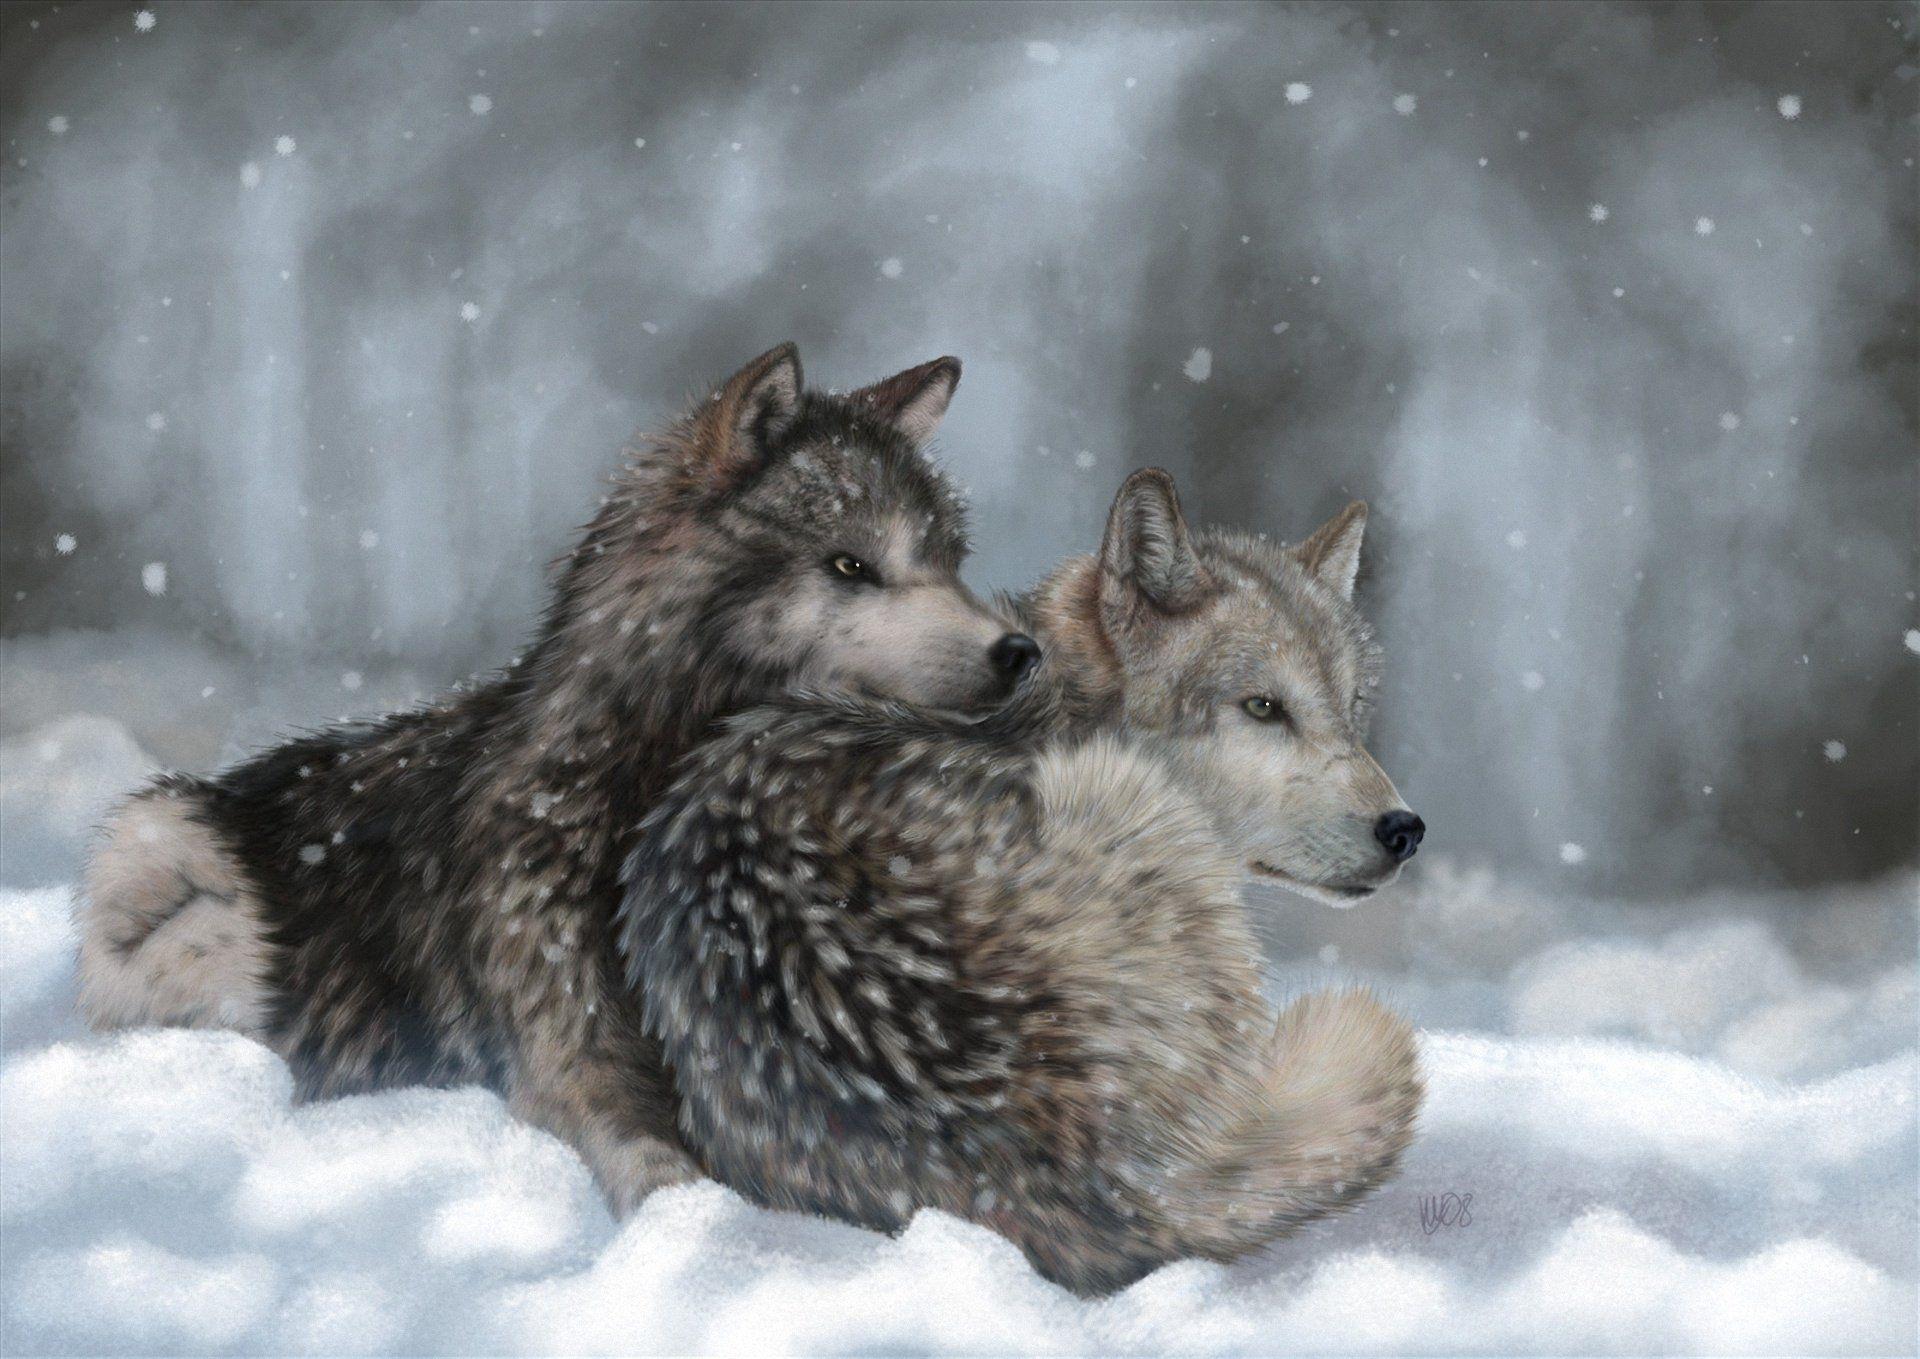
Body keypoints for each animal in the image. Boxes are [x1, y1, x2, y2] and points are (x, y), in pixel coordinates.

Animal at [76, 343, 1042, 1209]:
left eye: (949, 560)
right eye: (851, 565)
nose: (1022, 652)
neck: (636, 791)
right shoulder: (568, 1071)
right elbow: (663, 1178)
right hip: (157, 843)